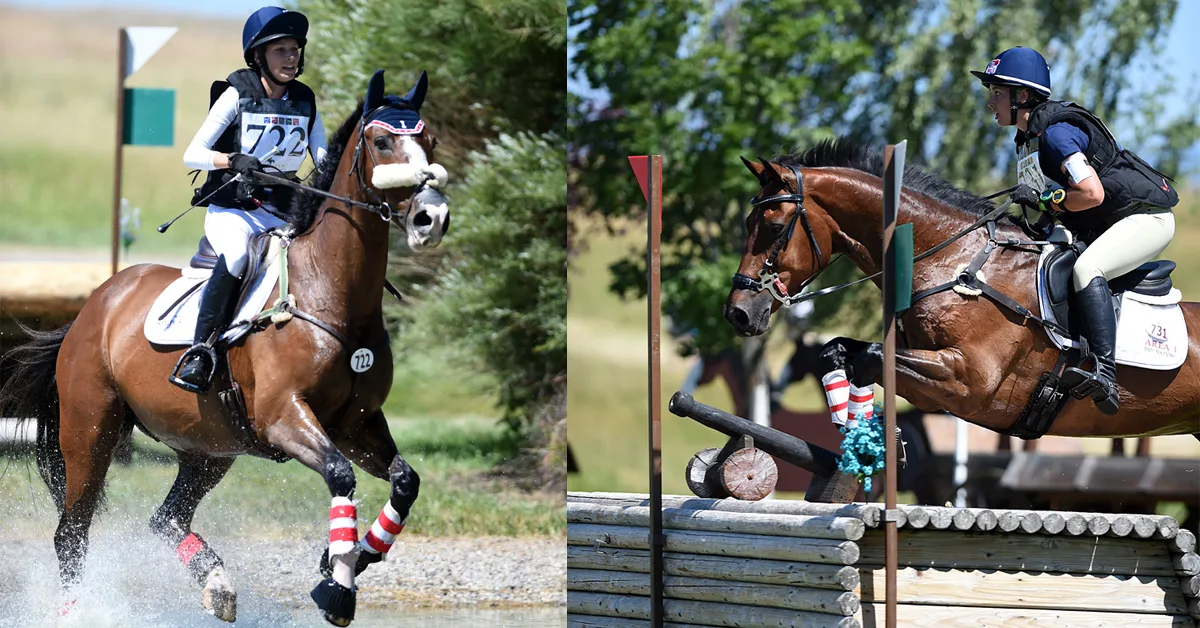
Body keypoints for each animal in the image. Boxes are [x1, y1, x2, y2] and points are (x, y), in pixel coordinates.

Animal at [0, 69, 450, 626]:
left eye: (431, 141)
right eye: (383, 142)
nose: (433, 218)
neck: (330, 293)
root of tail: (95, 306)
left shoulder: (357, 424)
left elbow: (405, 481)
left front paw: (346, 559)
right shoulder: (285, 418)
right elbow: (340, 476)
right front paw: (337, 587)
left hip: (209, 445)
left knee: (166, 518)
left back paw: (217, 584)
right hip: (91, 430)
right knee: (72, 533)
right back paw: (77, 612)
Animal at [723, 139, 1200, 440]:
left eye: (773, 228)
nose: (738, 313)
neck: (951, 260)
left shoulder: (969, 382)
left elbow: (872, 356)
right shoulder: (935, 381)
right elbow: (837, 350)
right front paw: (851, 422)